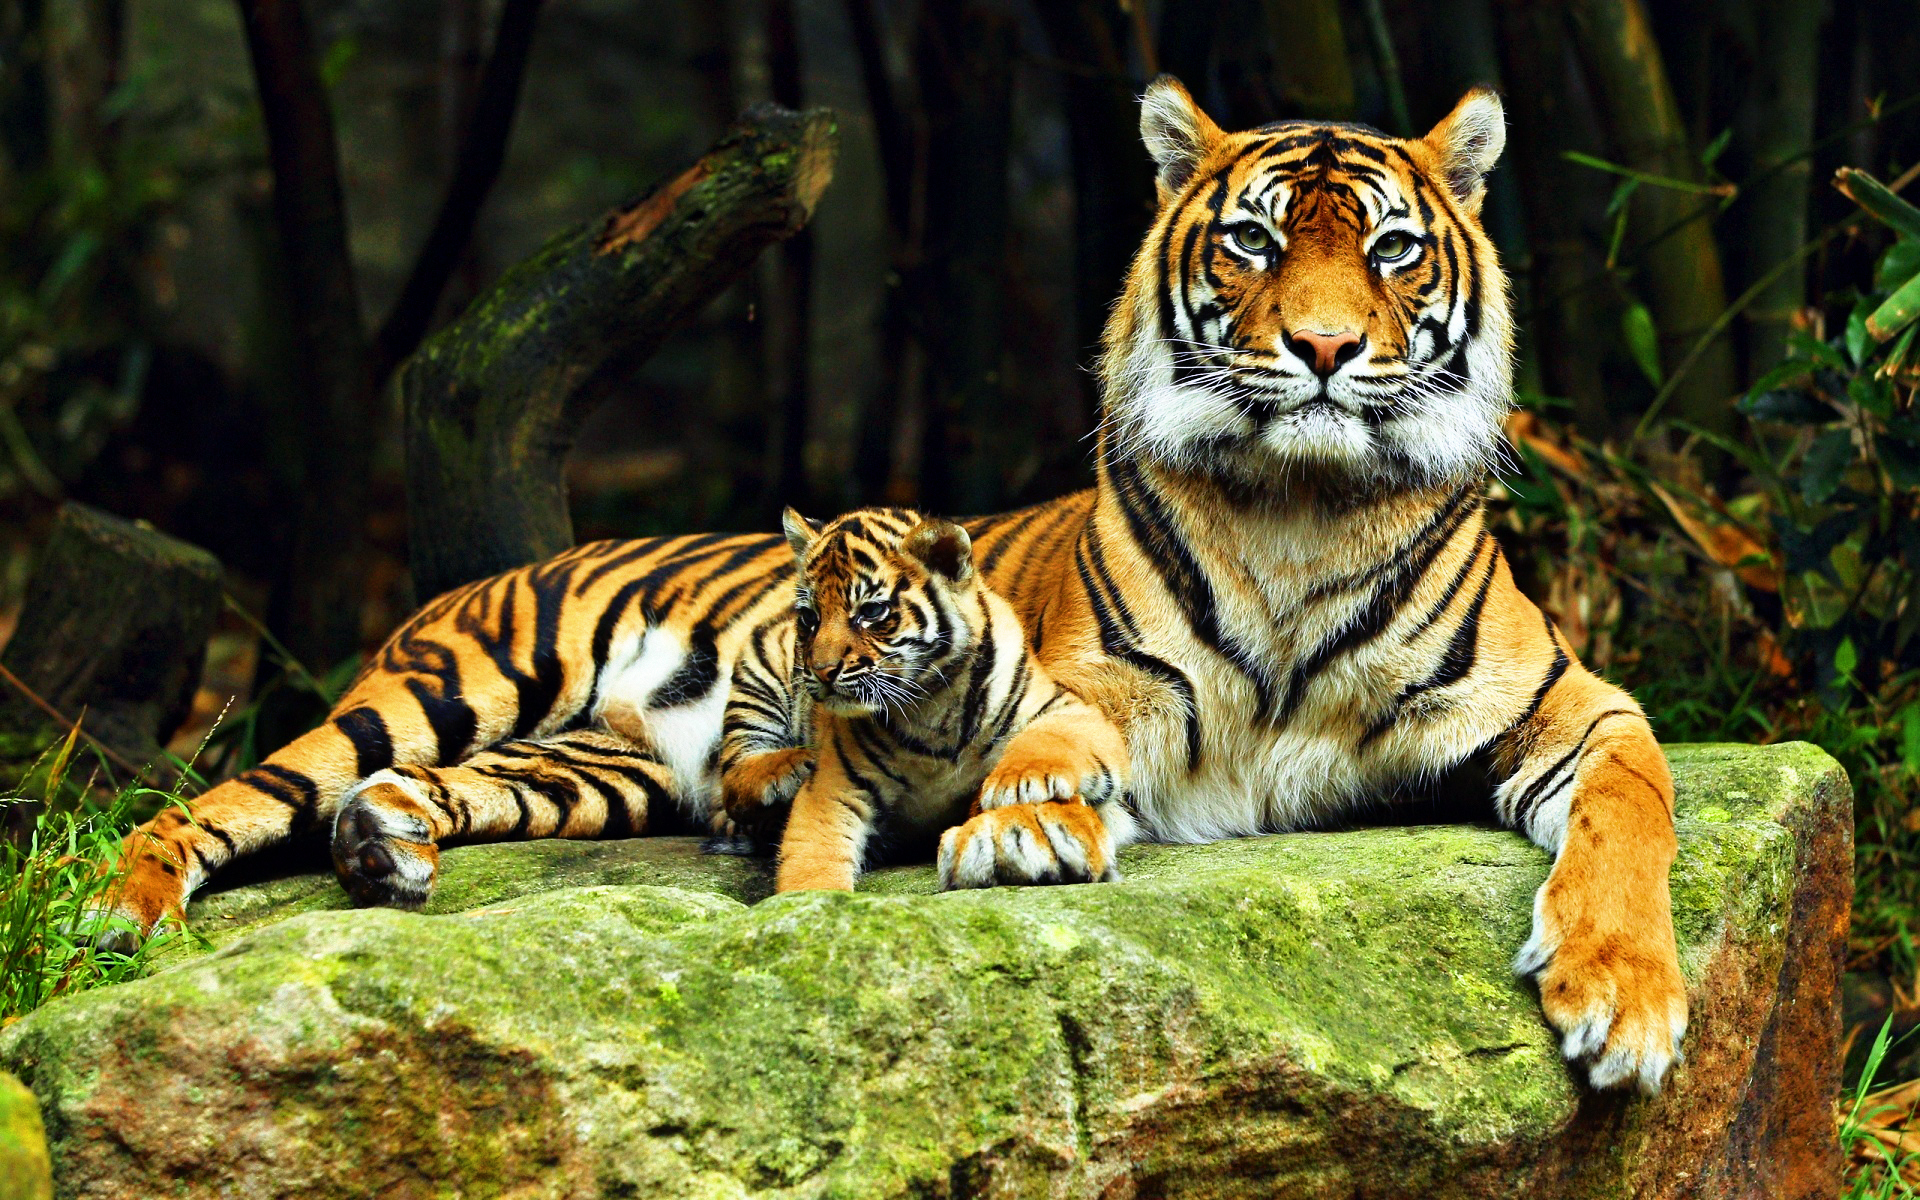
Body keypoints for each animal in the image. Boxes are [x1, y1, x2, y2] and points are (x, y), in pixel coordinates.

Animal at [715, 505, 1128, 892]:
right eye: (810, 617)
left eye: (871, 611)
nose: (822, 670)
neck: (931, 703)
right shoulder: (836, 788)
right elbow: (813, 857)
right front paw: (813, 903)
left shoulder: (1070, 708)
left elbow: (1051, 738)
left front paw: (1018, 782)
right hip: (760, 672)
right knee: (733, 777)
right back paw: (793, 765)